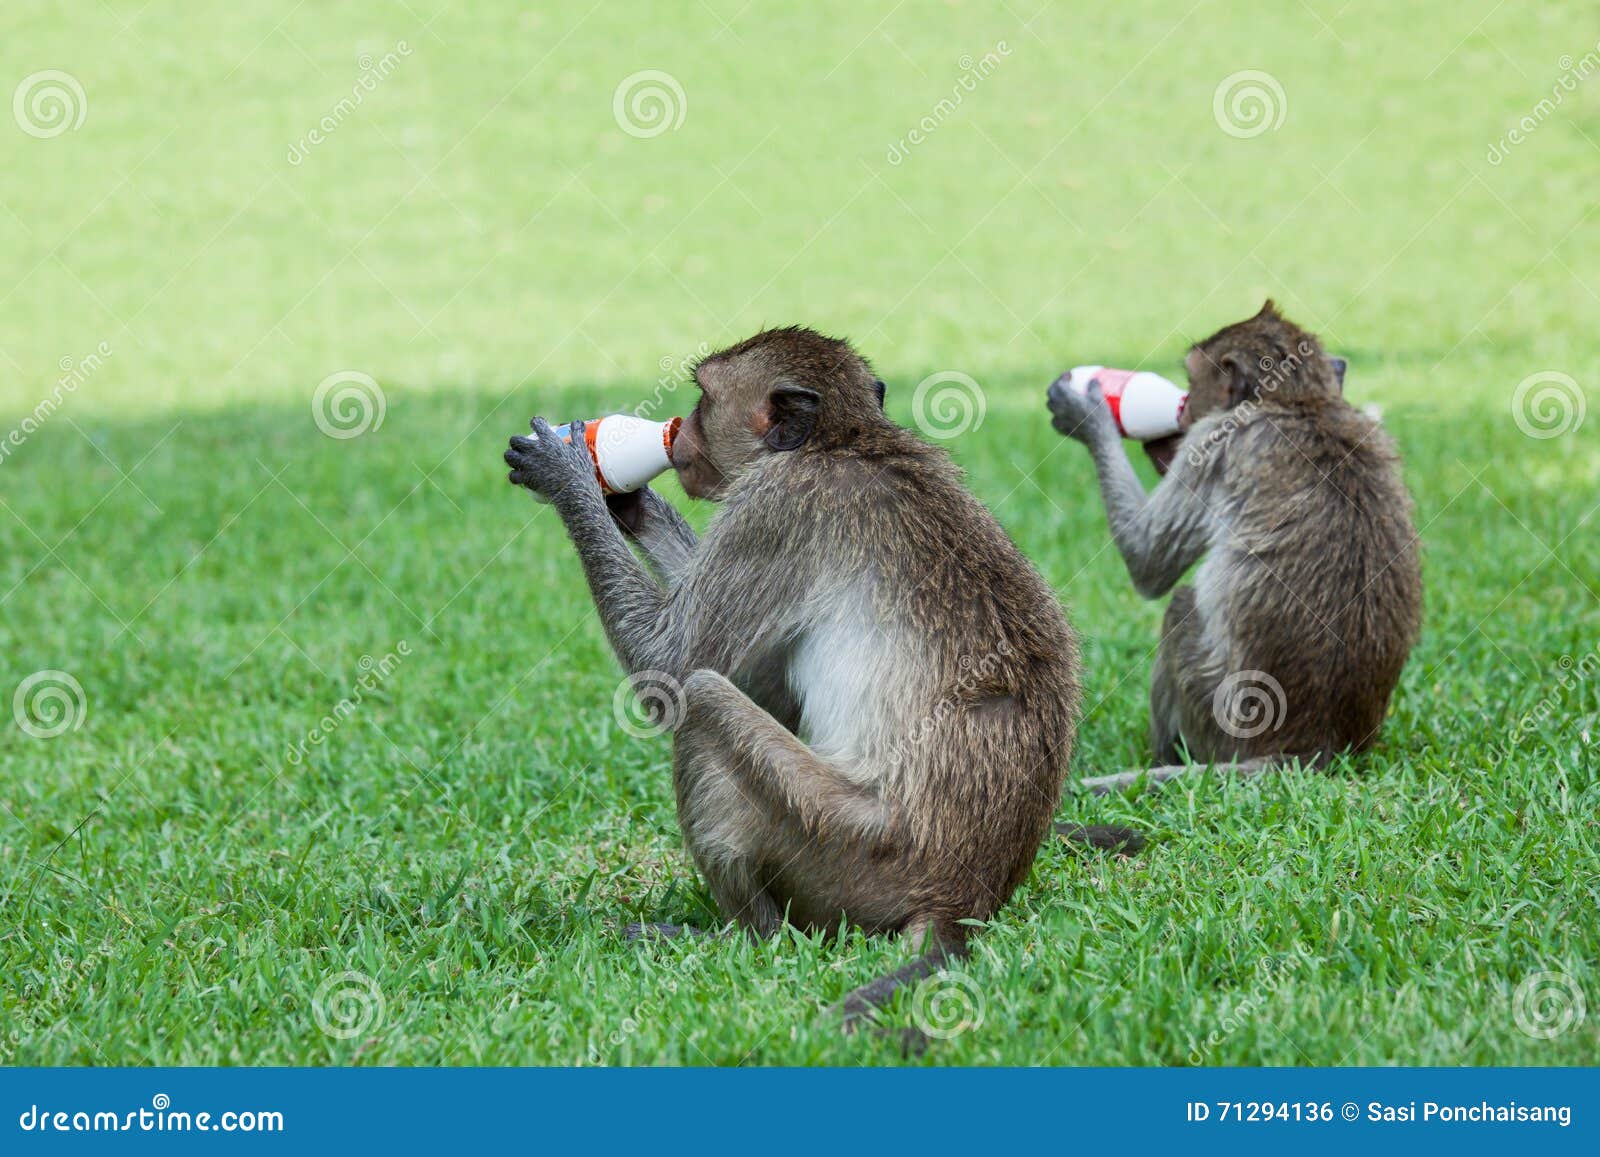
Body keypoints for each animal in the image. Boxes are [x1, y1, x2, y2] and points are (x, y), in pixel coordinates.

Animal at [505, 326, 1094, 1035]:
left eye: (703, 399)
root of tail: (962, 897)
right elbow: (762, 685)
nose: (677, 434)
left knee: (704, 701)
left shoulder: (777, 507)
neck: (842, 441)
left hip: (851, 853)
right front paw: (630, 500)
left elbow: (671, 667)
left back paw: (745, 938)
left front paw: (571, 478)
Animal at [1045, 302, 1421, 793]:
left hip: (1214, 713)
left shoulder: (1214, 442)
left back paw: (1163, 758)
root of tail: (1313, 745)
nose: (1182, 407)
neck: (1301, 404)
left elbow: (1149, 565)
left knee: (1180, 605)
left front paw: (1089, 417)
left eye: (1192, 381)